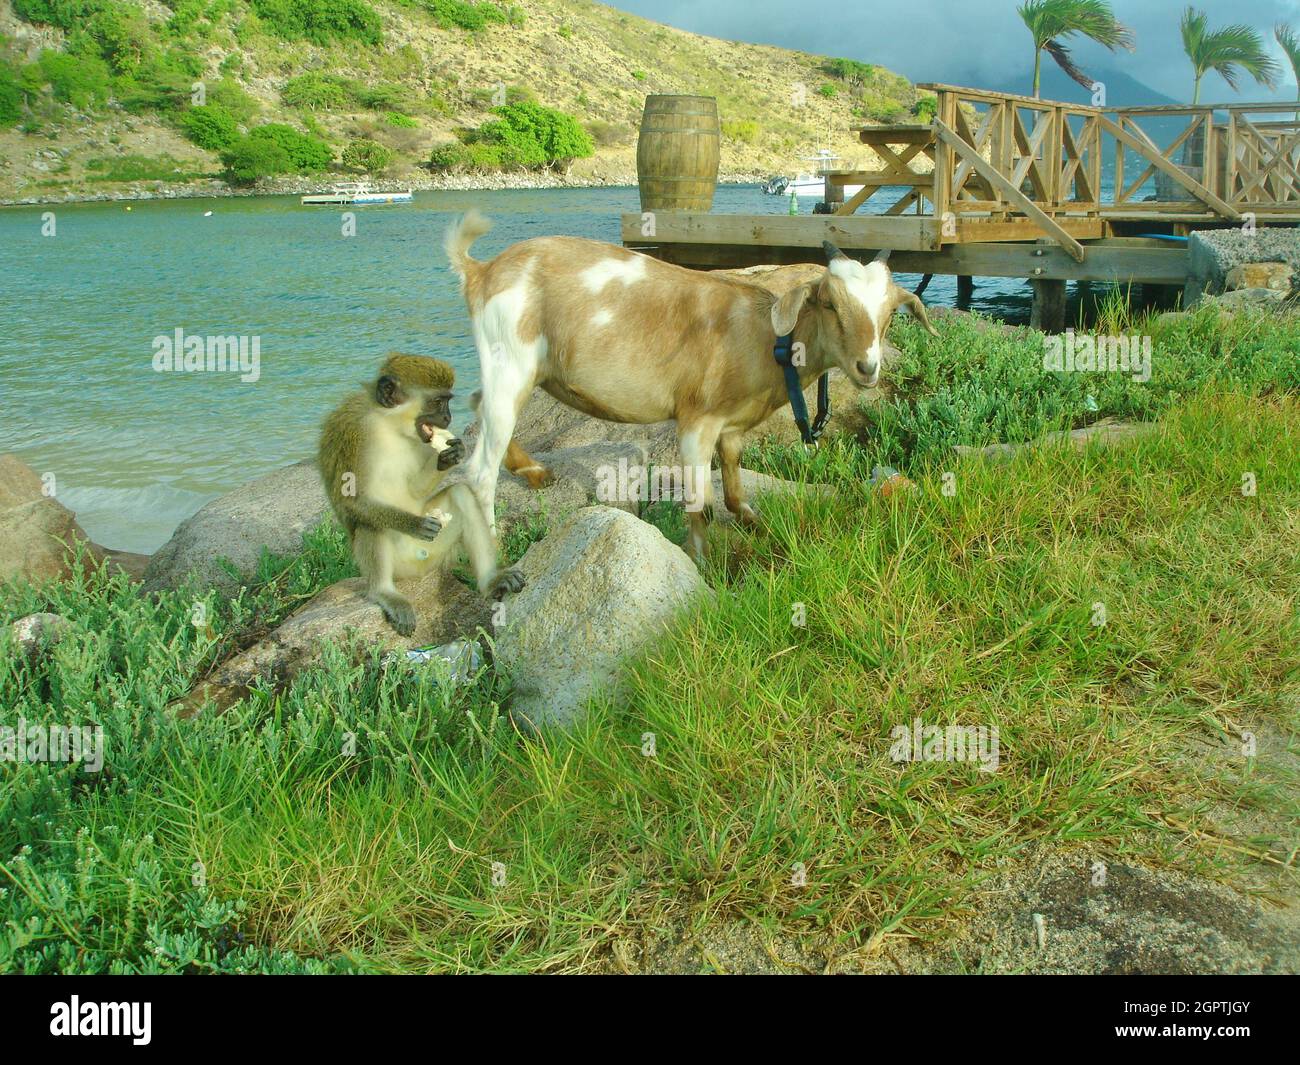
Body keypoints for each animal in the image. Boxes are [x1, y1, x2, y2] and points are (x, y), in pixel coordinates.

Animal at [318, 353, 524, 636]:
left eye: (448, 402)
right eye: (438, 402)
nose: (448, 417)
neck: (388, 424)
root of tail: (420, 569)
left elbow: (416, 489)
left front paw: (449, 457)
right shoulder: (351, 431)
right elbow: (351, 501)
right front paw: (415, 524)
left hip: (435, 553)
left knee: (461, 492)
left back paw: (491, 580)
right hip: (400, 567)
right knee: (370, 522)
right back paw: (384, 592)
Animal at [445, 210, 938, 562]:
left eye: (891, 312)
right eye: (829, 303)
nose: (867, 366)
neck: (766, 338)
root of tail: (481, 271)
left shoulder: (731, 426)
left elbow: (734, 486)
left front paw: (754, 522)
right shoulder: (696, 420)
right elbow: (700, 503)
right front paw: (703, 566)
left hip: (517, 368)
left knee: (478, 402)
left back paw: (532, 470)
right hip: (510, 356)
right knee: (479, 470)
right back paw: (496, 554)